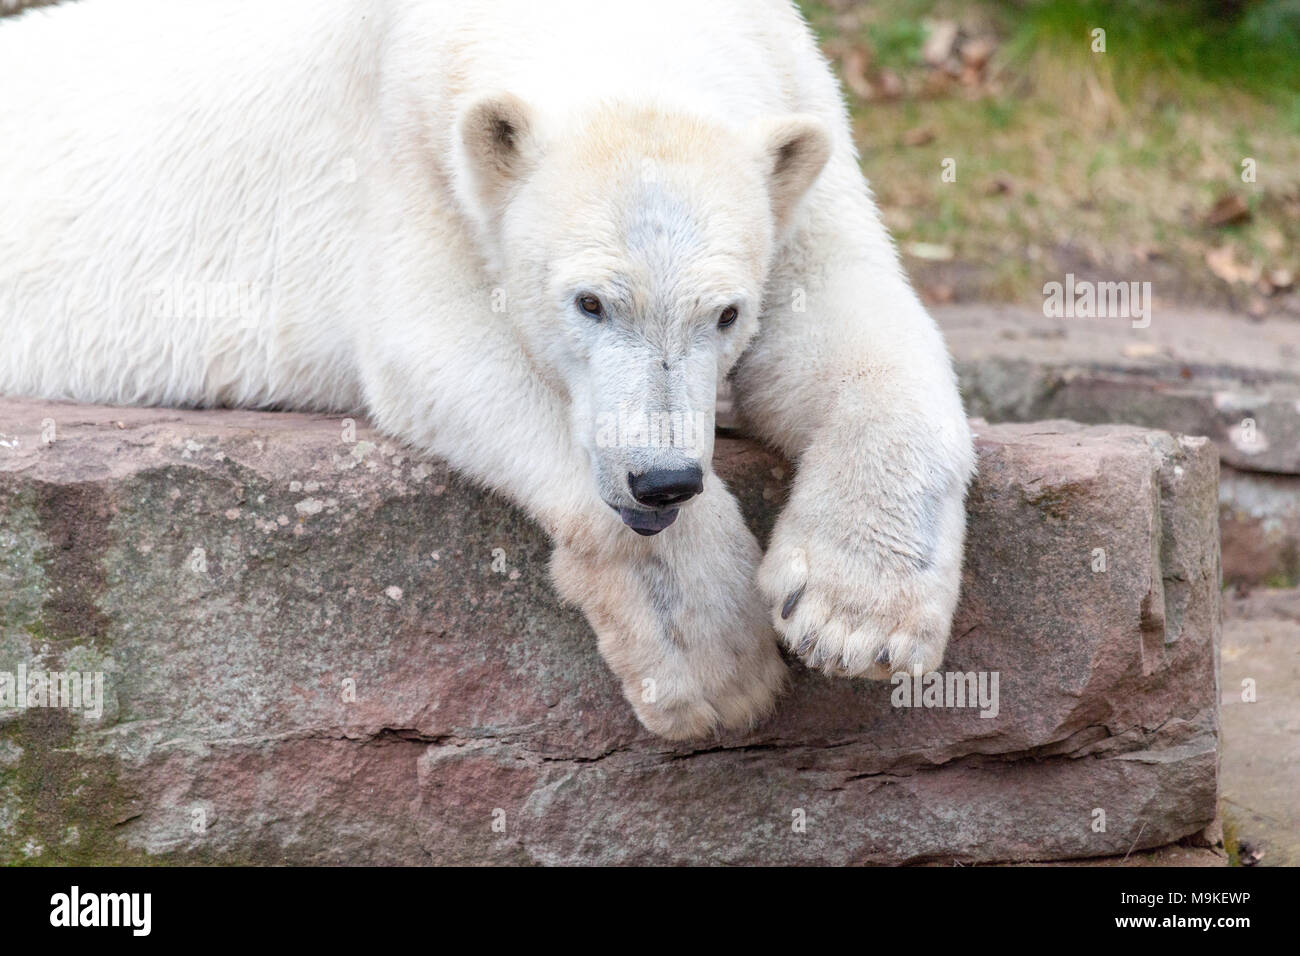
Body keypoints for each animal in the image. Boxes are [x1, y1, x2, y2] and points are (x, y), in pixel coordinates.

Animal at [0, 0, 976, 740]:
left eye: (727, 314)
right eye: (589, 303)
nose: (661, 479)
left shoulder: (797, 115)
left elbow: (845, 309)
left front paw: (854, 616)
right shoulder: (408, 134)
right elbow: (435, 338)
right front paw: (717, 661)